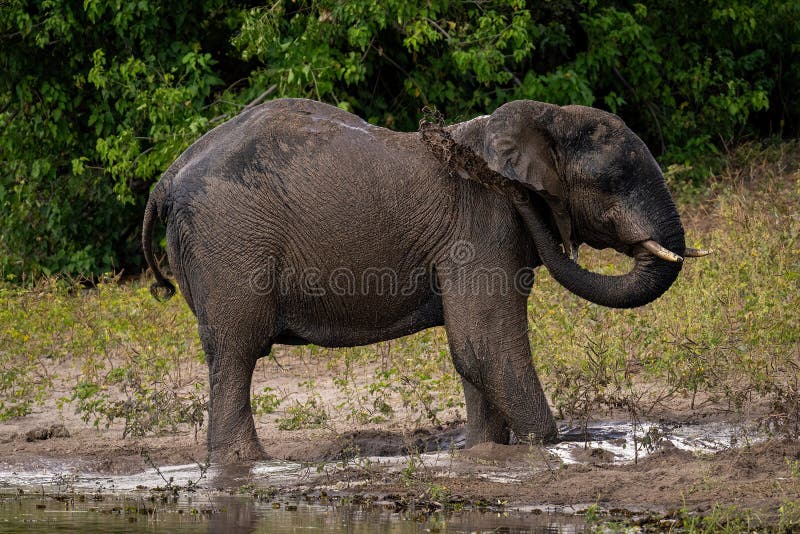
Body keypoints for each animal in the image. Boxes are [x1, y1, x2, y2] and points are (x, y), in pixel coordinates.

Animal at [142, 98, 709, 463]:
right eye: (612, 181)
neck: (539, 119)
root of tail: (166, 177)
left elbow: (475, 353)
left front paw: (484, 454)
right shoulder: (482, 223)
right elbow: (485, 345)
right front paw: (554, 449)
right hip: (229, 244)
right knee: (237, 352)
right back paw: (249, 465)